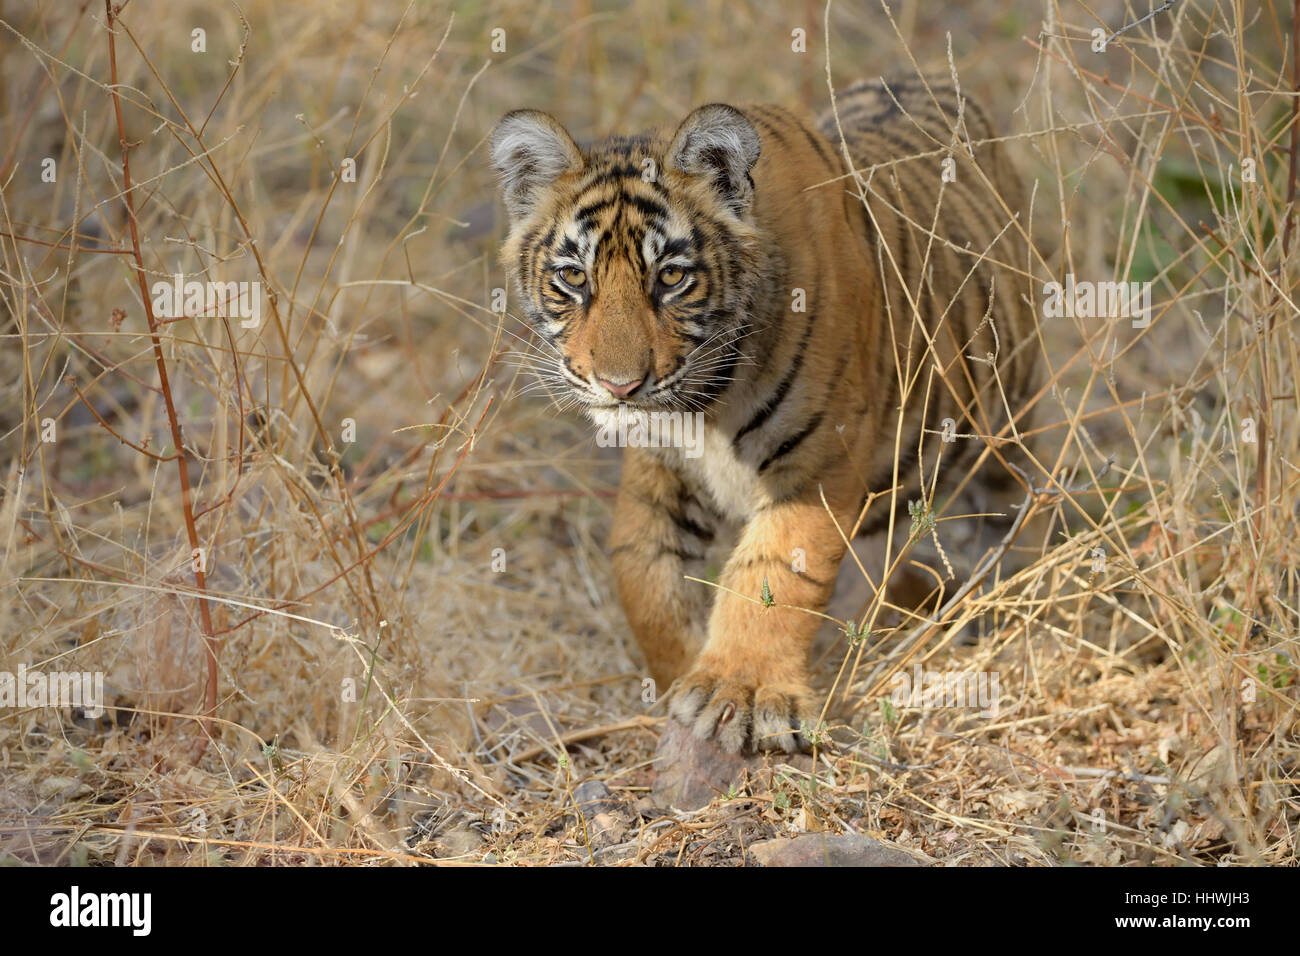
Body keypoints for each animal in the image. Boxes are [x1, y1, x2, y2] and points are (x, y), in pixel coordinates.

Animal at [489, 77, 1038, 754]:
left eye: (671, 277)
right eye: (572, 277)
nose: (619, 387)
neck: (706, 406)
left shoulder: (817, 461)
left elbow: (770, 578)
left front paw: (737, 695)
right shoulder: (659, 466)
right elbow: (642, 575)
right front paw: (681, 678)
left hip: (1007, 422)